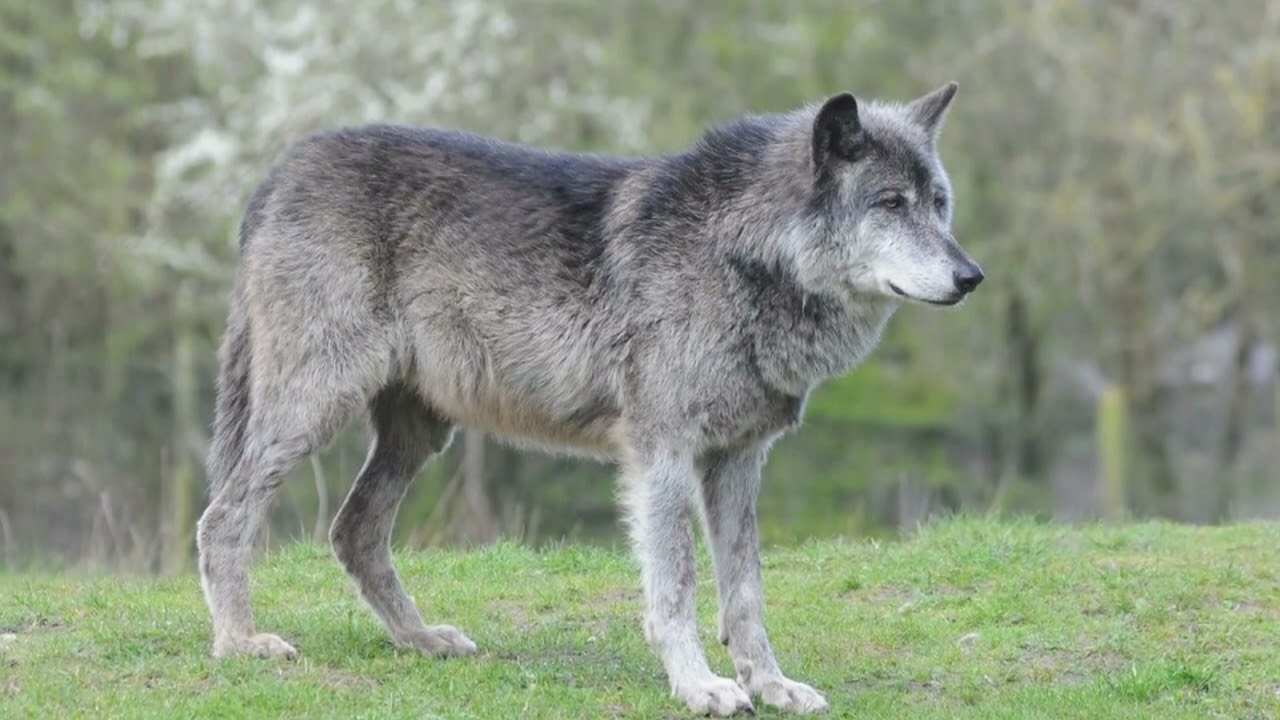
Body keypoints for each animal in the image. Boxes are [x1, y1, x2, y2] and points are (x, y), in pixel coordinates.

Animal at [196, 82, 982, 716]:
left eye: (940, 204)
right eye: (890, 203)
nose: (971, 276)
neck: (740, 253)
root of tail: (279, 171)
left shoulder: (737, 460)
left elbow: (746, 594)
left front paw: (772, 686)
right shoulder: (661, 453)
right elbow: (677, 586)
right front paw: (700, 687)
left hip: (417, 433)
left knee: (352, 529)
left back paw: (420, 639)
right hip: (314, 408)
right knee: (222, 518)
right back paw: (239, 641)